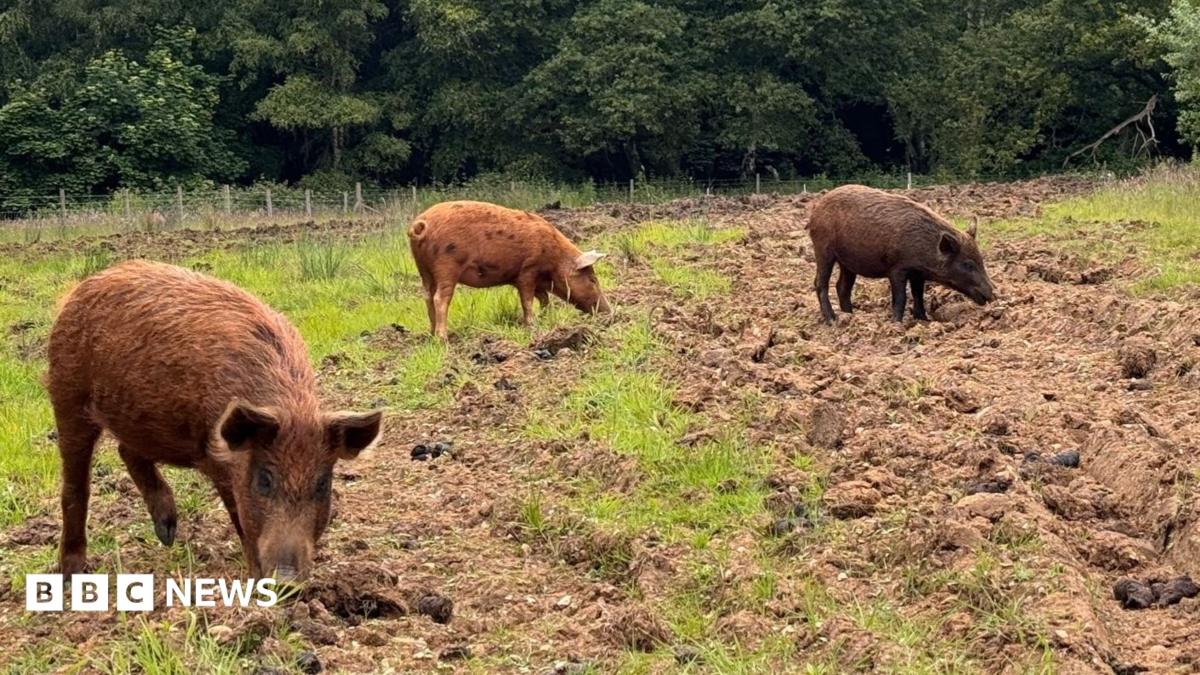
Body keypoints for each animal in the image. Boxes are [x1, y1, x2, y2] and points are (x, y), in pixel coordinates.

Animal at [46, 260, 383, 580]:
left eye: (323, 483)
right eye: (264, 480)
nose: (286, 579)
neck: (290, 408)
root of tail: (83, 287)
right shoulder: (219, 460)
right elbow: (240, 518)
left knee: (126, 450)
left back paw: (167, 533)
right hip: (67, 393)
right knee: (76, 483)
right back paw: (70, 573)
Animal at [407, 200, 611, 339]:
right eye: (593, 279)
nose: (609, 312)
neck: (554, 260)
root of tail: (420, 224)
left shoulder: (537, 280)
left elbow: (544, 298)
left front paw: (546, 316)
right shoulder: (528, 270)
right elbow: (527, 299)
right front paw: (531, 325)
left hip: (423, 269)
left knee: (427, 297)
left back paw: (431, 334)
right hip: (447, 265)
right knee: (440, 298)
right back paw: (443, 338)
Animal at [806, 185, 996, 323]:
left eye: (981, 260)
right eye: (968, 264)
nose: (993, 295)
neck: (925, 248)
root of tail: (815, 210)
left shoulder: (918, 273)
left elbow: (918, 295)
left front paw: (924, 320)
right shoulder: (898, 268)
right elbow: (901, 297)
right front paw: (896, 323)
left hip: (847, 263)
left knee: (842, 287)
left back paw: (850, 317)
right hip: (823, 248)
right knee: (820, 283)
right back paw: (832, 320)